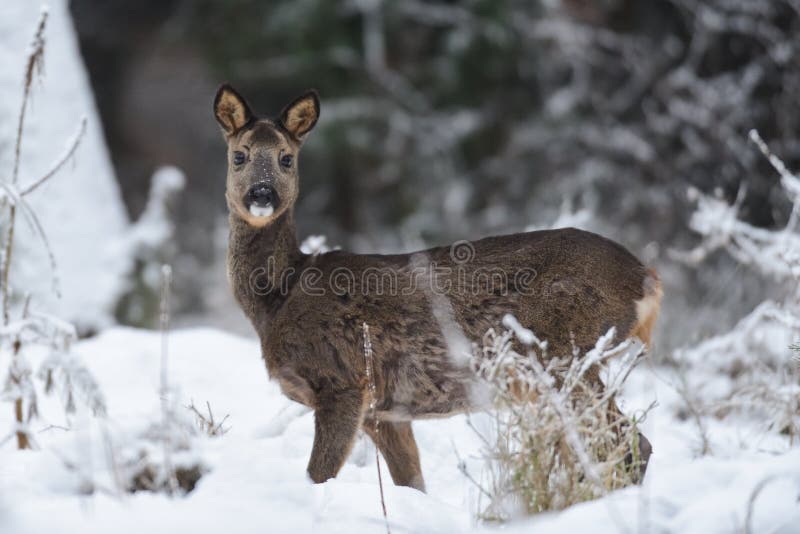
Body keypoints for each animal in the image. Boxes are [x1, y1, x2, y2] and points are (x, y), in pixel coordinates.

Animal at [214, 85, 662, 493]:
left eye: (286, 158)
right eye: (239, 155)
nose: (262, 194)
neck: (278, 298)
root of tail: (647, 279)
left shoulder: (342, 381)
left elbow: (318, 475)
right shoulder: (386, 412)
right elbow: (411, 482)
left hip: (565, 357)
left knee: (625, 442)